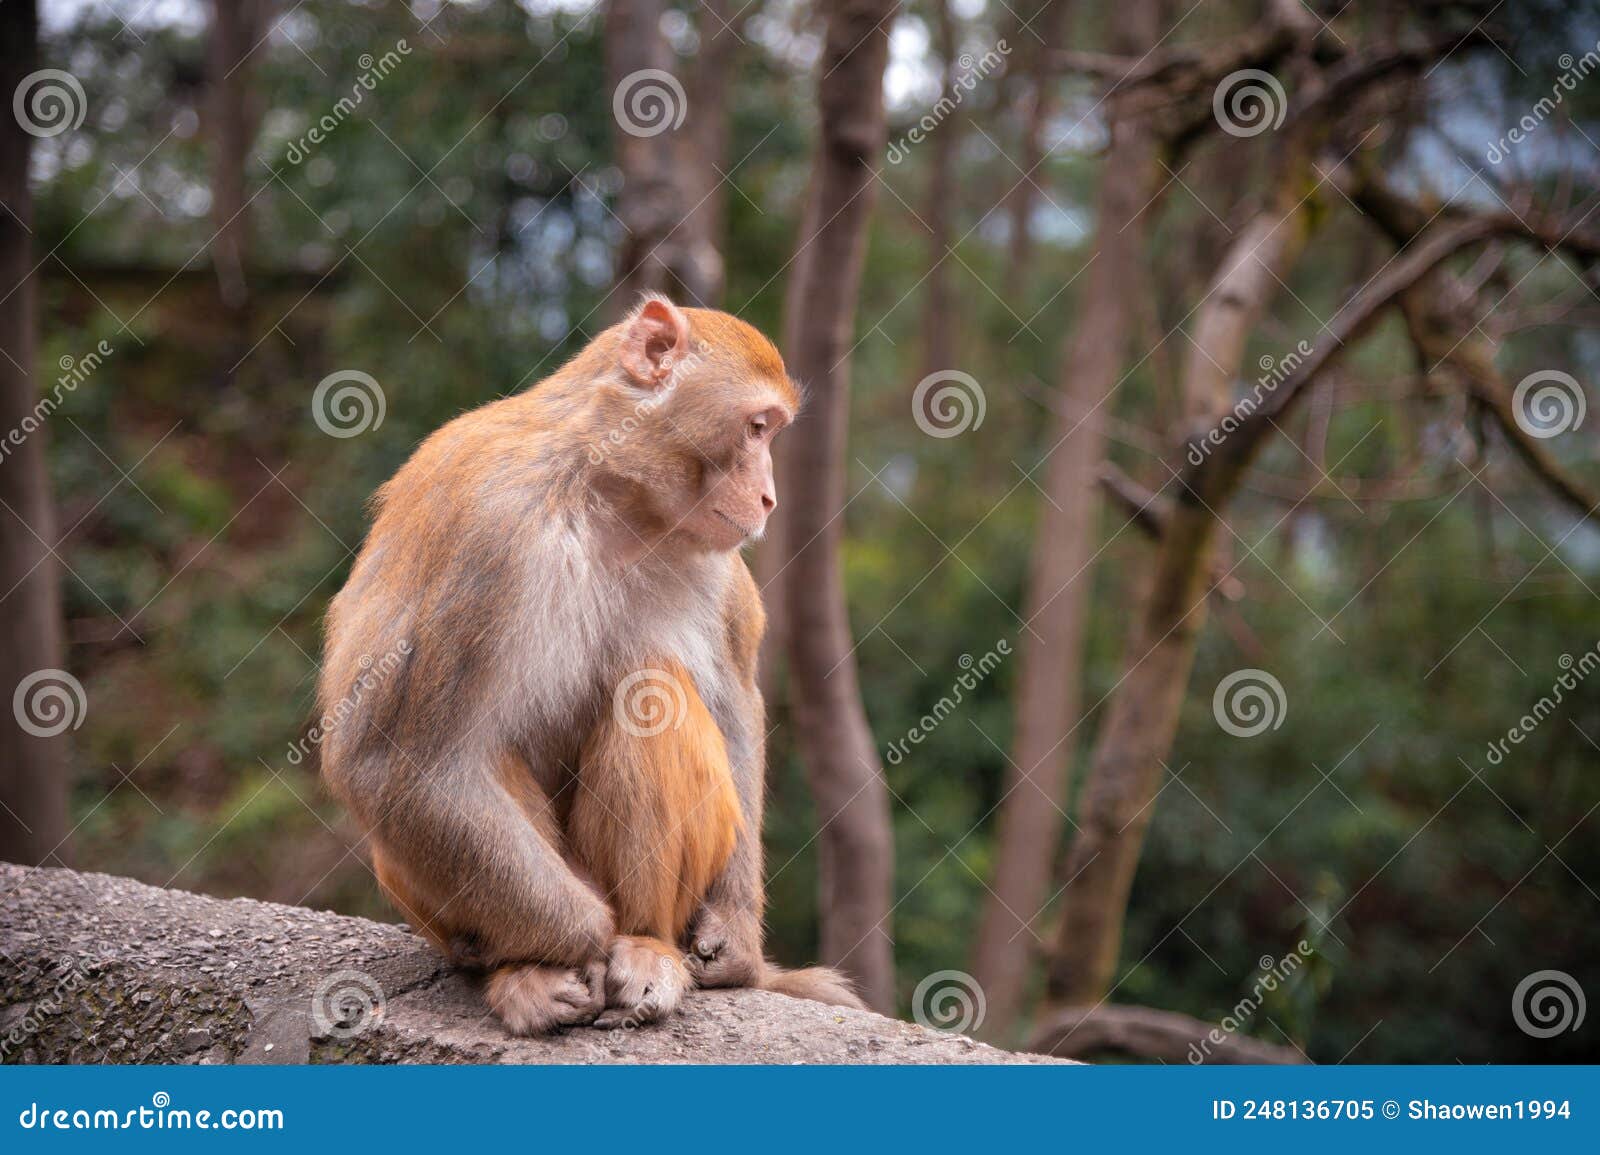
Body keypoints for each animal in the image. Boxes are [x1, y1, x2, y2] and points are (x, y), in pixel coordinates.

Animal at [316, 295, 864, 1034]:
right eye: (757, 428)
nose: (769, 497)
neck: (608, 488)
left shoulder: (717, 567)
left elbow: (734, 707)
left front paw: (733, 938)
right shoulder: (488, 525)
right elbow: (400, 762)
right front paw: (585, 942)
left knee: (653, 691)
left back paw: (647, 944)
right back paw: (526, 968)